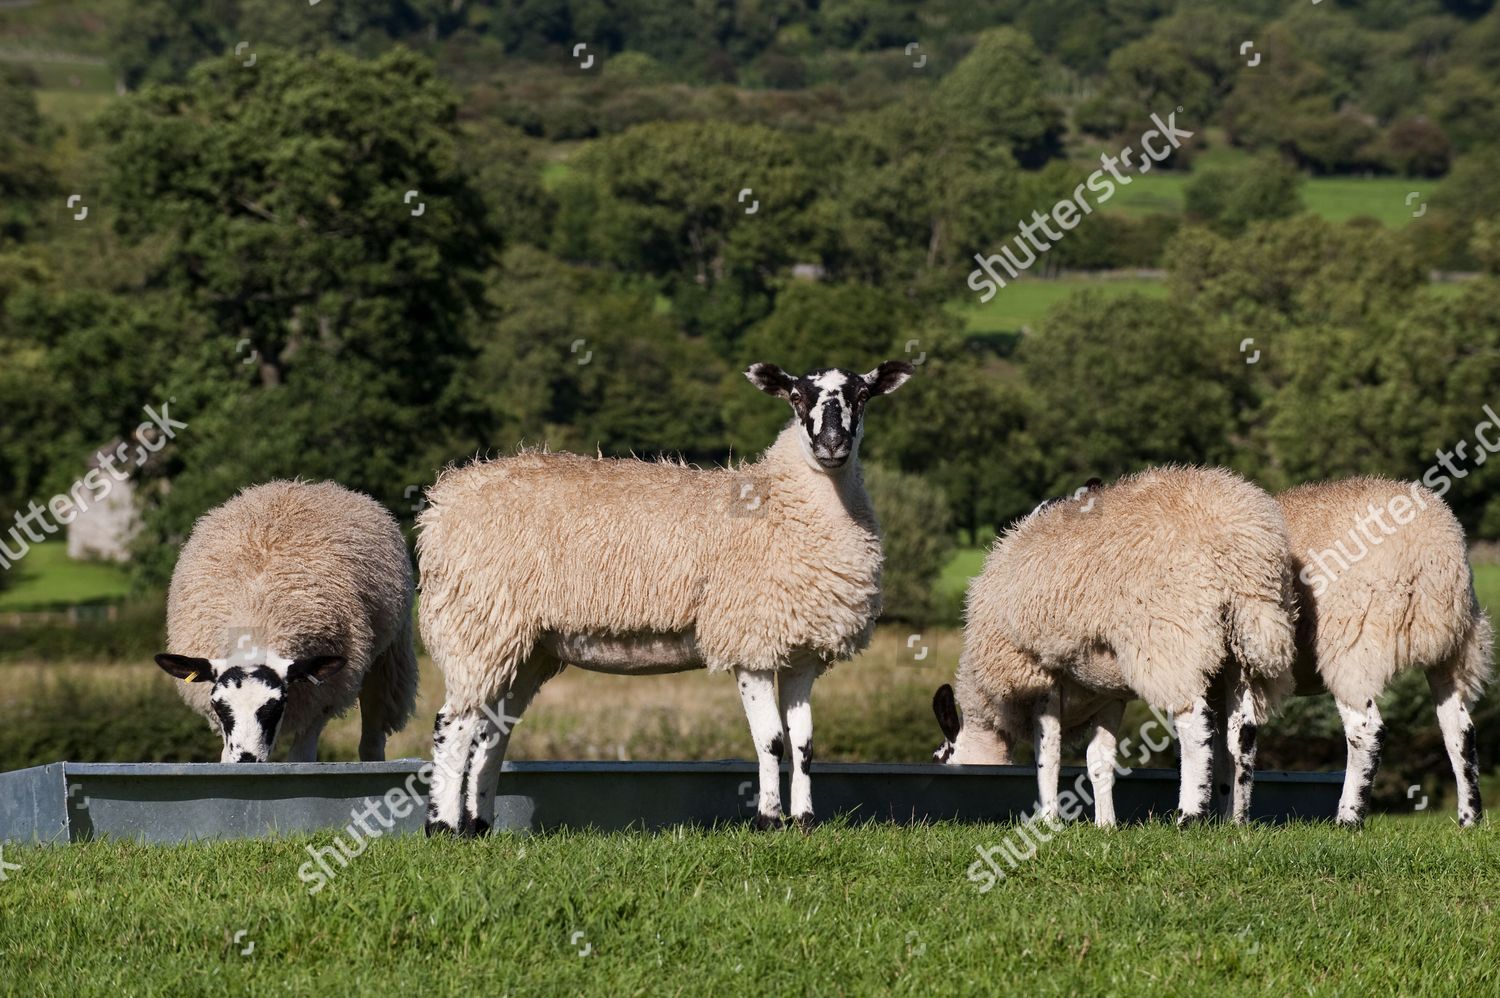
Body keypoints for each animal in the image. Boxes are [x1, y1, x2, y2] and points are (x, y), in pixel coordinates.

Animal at [154, 480, 419, 763]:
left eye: (276, 705)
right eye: (218, 705)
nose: (248, 760)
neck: (257, 619)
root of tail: (305, 485)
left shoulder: (322, 698)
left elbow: (300, 758)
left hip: (389, 657)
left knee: (374, 728)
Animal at [417, 359, 913, 836]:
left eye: (863, 395)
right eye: (795, 396)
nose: (832, 444)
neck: (782, 503)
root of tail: (444, 500)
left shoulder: (801, 648)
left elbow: (804, 743)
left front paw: (805, 821)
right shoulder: (749, 637)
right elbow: (771, 740)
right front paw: (770, 821)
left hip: (524, 645)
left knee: (490, 734)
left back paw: (478, 825)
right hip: (477, 623)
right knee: (453, 725)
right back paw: (443, 827)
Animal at [931, 466, 1297, 826]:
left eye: (942, 757)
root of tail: (1242, 542)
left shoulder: (1040, 676)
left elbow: (1048, 755)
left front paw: (1048, 819)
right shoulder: (1107, 692)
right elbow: (1099, 760)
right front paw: (1105, 824)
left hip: (1171, 638)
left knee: (1195, 724)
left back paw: (1188, 815)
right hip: (1246, 642)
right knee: (1242, 733)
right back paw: (1237, 820)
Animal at [1224, 477, 1493, 826]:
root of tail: (1432, 545)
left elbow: (1234, 737)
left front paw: (1229, 820)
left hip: (1352, 645)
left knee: (1365, 730)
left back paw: (1348, 818)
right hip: (1454, 646)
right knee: (1459, 729)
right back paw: (1469, 818)